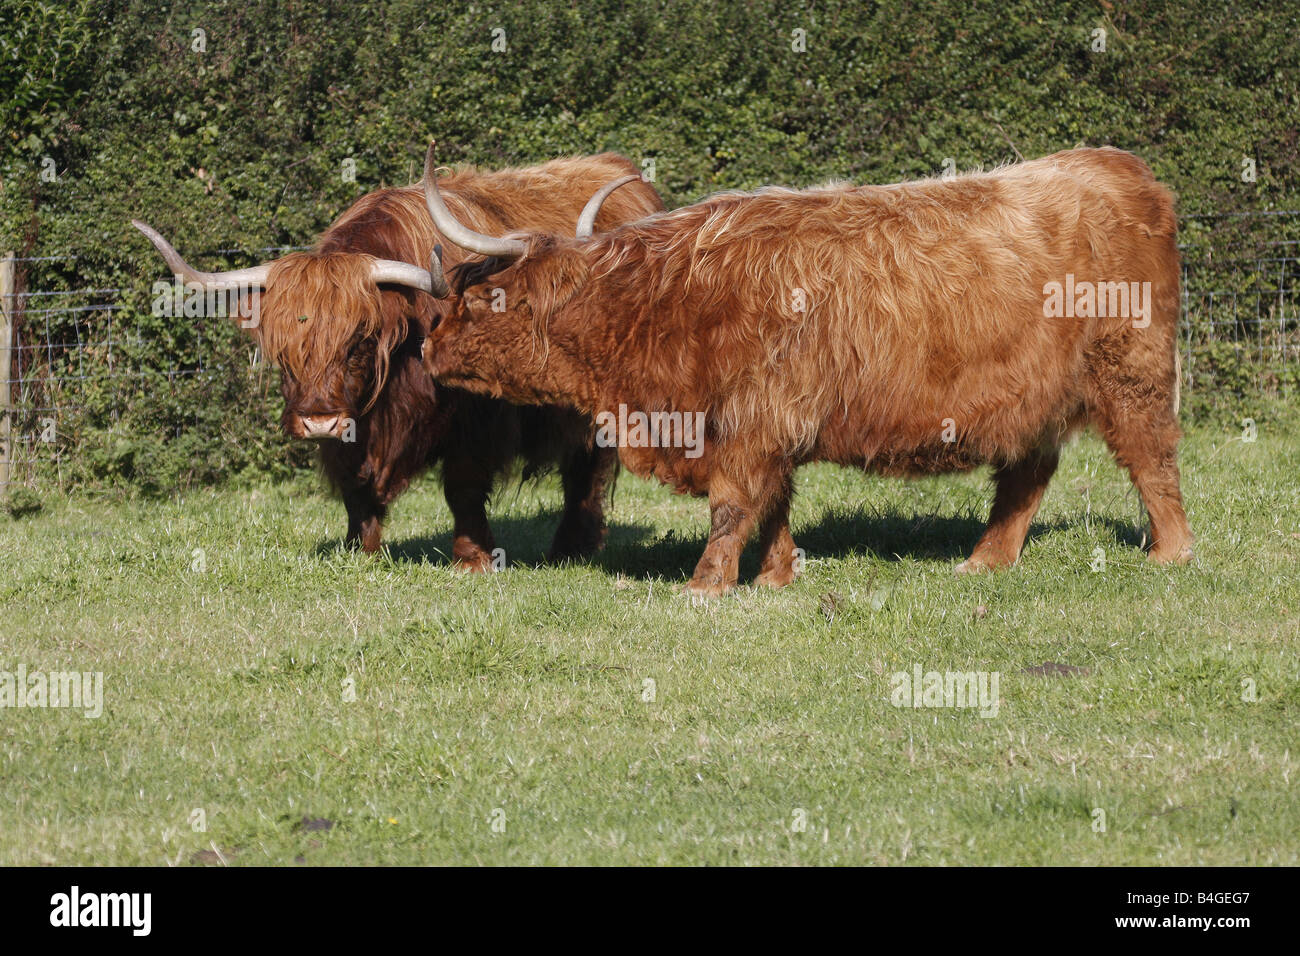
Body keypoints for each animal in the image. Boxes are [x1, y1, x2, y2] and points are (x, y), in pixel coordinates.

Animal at [132, 153, 664, 568]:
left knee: (585, 471)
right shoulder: (349, 427)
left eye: (359, 341)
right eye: (285, 350)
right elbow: (354, 489)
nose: (319, 422)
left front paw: (473, 560)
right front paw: (359, 550)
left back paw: (572, 548)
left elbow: (463, 485)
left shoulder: (475, 420)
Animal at [416, 144, 1194, 596]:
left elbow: (733, 504)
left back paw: (1171, 554)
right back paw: (985, 561)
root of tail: (1119, 165)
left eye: (478, 298)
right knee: (1029, 473)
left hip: (1132, 368)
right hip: (1034, 394)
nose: (426, 345)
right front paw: (777, 576)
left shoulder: (754, 418)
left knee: (1151, 457)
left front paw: (706, 585)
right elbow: (774, 505)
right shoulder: (769, 425)